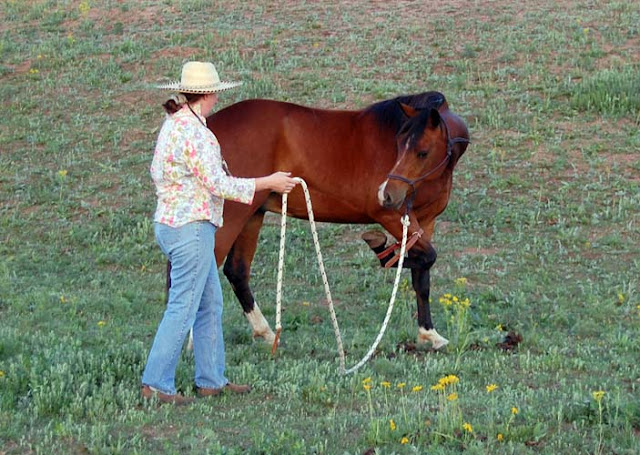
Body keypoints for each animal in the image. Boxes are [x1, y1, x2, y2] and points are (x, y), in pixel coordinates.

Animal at [180, 91, 469, 350]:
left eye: (422, 152)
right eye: (399, 144)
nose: (385, 194)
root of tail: (205, 127)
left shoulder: (424, 221)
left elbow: (423, 276)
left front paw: (430, 334)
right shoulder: (392, 216)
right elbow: (425, 258)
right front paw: (382, 250)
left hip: (252, 214)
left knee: (236, 271)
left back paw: (266, 334)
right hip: (232, 217)